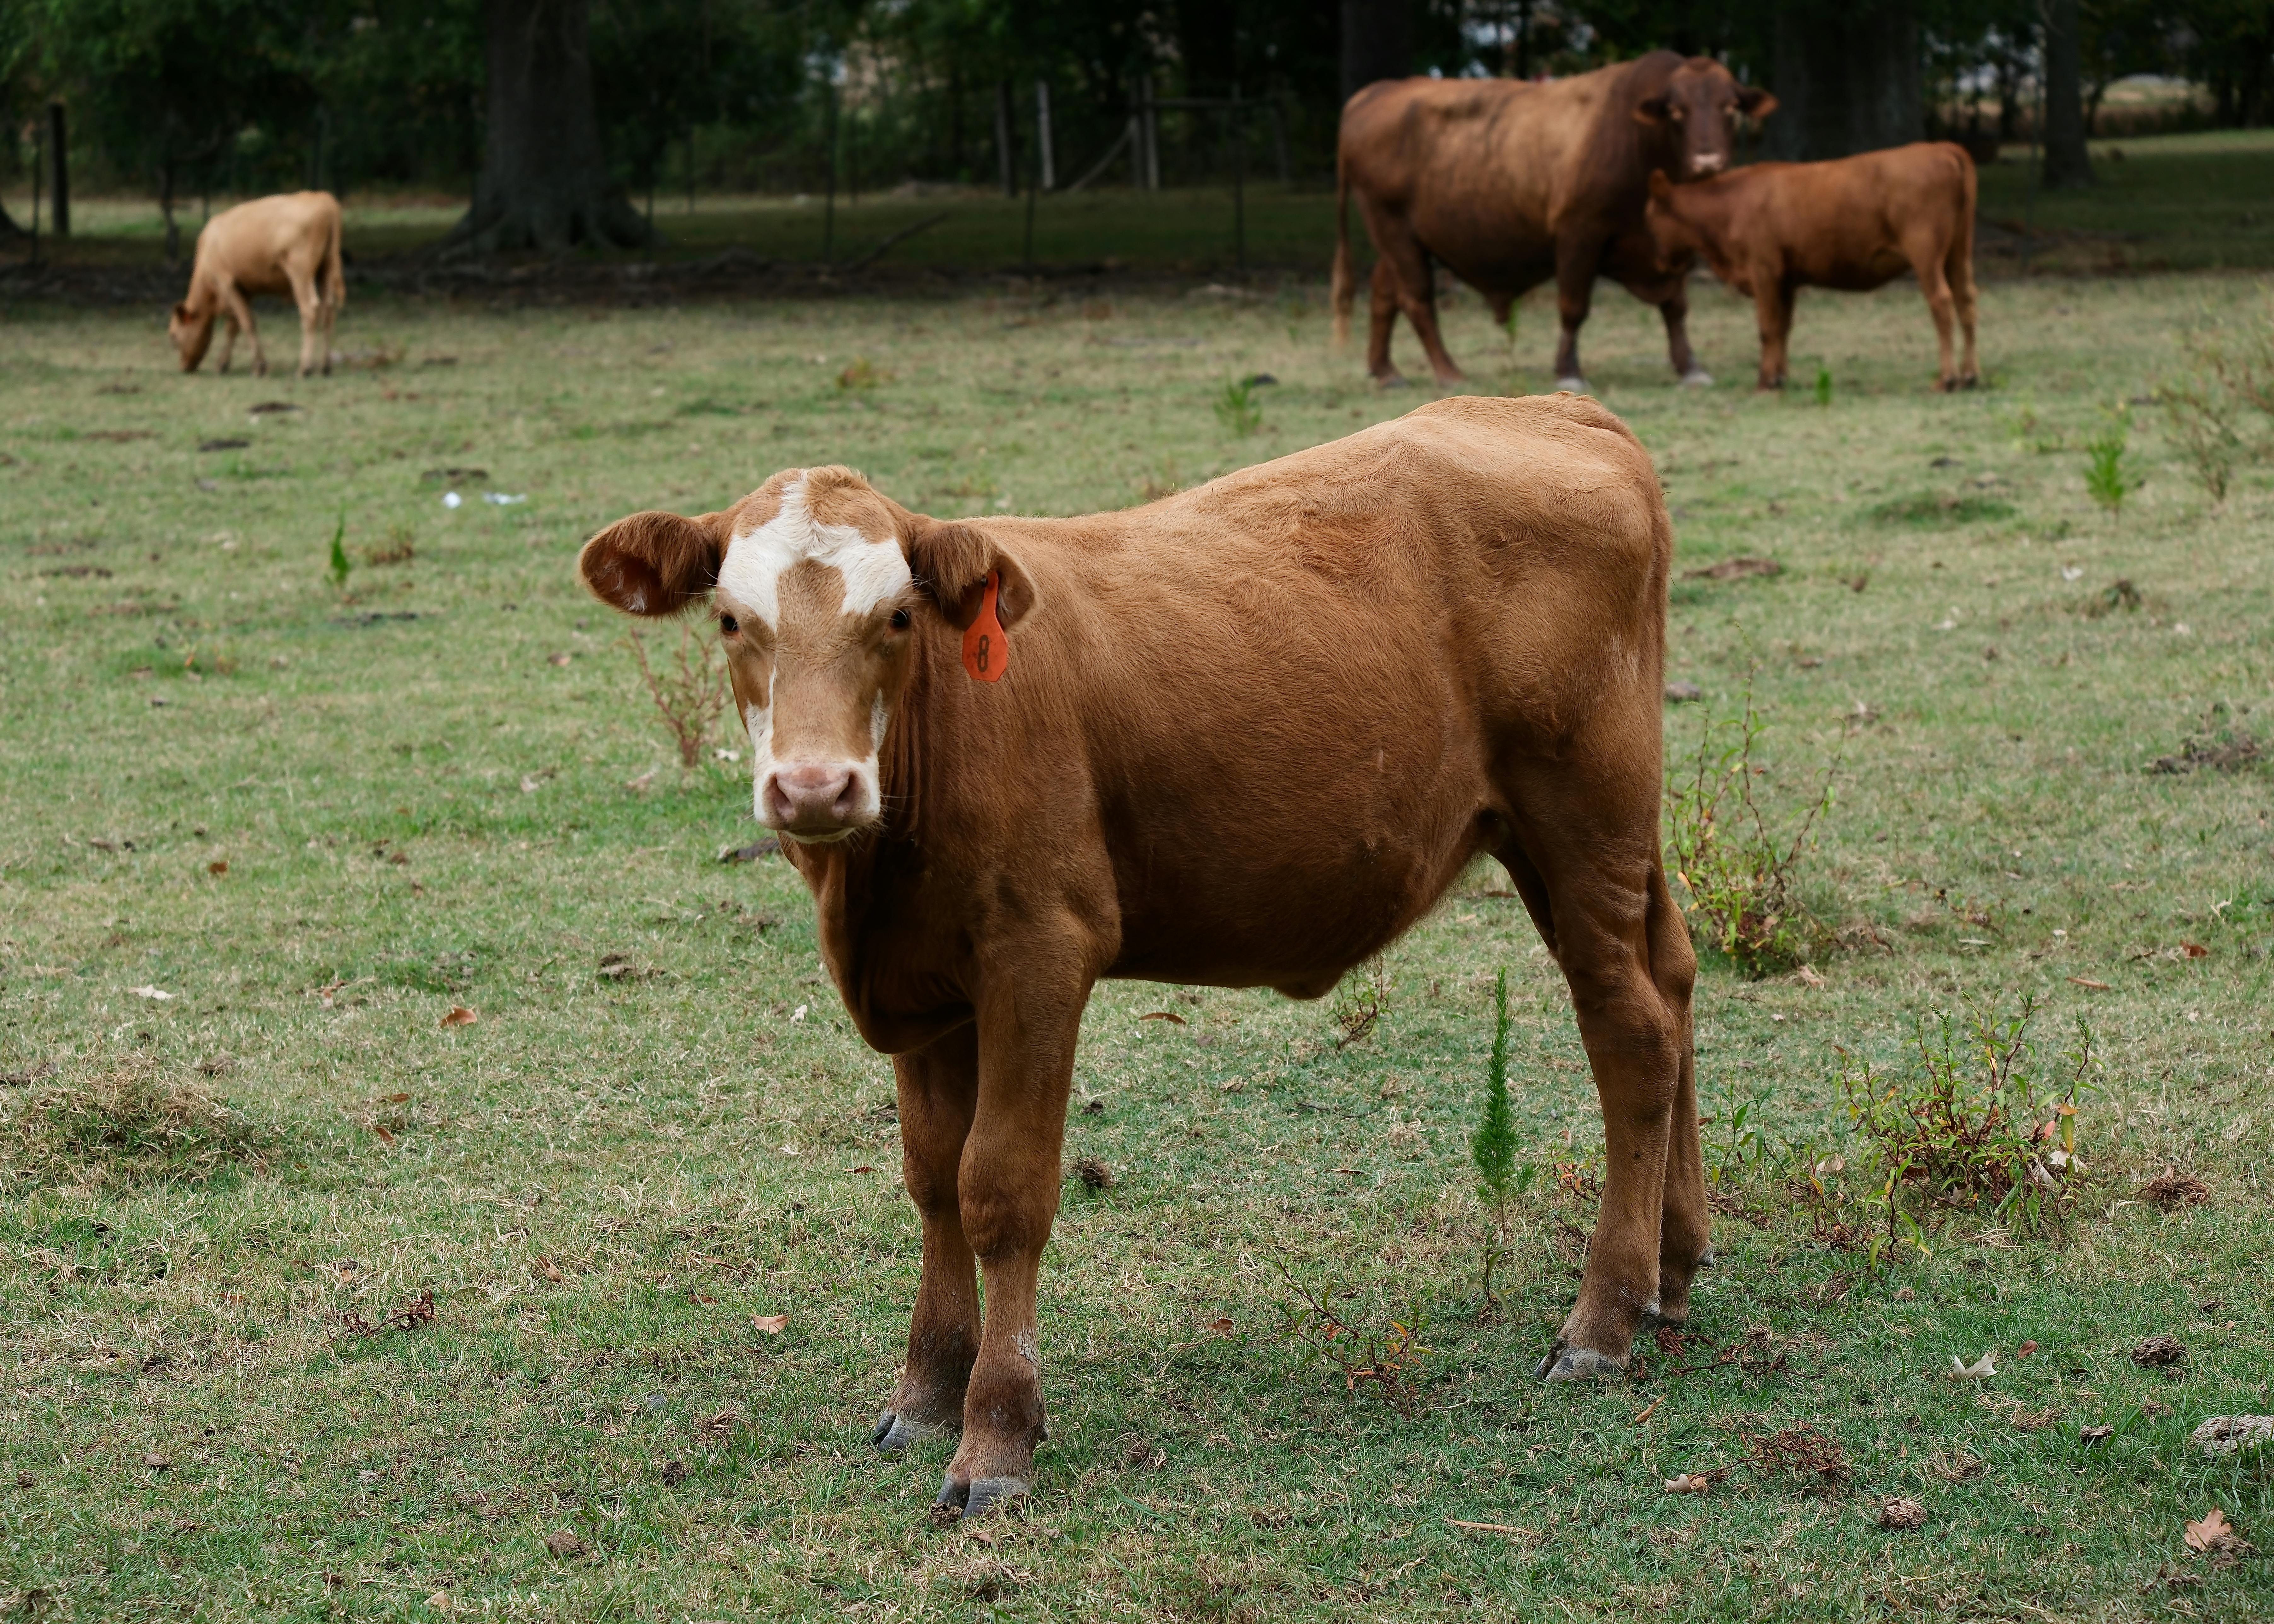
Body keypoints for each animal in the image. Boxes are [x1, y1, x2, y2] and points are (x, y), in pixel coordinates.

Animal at [168, 191, 345, 378]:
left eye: (174, 337)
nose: (184, 368)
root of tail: (322, 199)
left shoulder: (226, 284)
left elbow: (247, 323)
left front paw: (259, 366)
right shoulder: (244, 289)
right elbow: (234, 327)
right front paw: (223, 363)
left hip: (300, 273)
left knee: (310, 311)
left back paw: (305, 368)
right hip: (326, 271)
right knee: (328, 312)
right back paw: (326, 366)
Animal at [575, 396, 1702, 1518]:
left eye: (895, 618)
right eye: (732, 620)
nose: (814, 787)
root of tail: (1548, 407)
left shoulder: (1039, 953)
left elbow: (1001, 1189)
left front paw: (995, 1434)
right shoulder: (923, 983)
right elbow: (933, 1178)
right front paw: (927, 1390)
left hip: (1583, 814)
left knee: (1633, 1033)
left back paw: (1602, 1320)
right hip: (1580, 843)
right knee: (1676, 981)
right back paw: (1674, 1264)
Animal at [1332, 53, 1775, 392]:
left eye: (1730, 109)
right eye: (1676, 111)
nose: (1708, 161)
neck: (1637, 143)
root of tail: (1375, 92)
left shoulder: (1670, 248)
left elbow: (1676, 306)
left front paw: (1690, 367)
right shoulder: (1579, 233)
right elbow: (1573, 307)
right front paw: (1569, 371)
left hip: (1398, 239)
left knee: (1385, 294)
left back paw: (1386, 372)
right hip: (1393, 230)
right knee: (1417, 299)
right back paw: (1449, 373)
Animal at [1644, 143, 1980, 392]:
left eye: (1649, 216)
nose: (1658, 263)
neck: (1733, 205)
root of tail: (1940, 148)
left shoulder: (1763, 269)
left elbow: (1767, 327)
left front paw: (1765, 381)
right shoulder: (1786, 278)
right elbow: (1783, 326)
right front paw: (1779, 376)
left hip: (1926, 253)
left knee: (1942, 301)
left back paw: (1947, 378)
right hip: (1958, 253)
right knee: (1966, 300)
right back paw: (1970, 375)